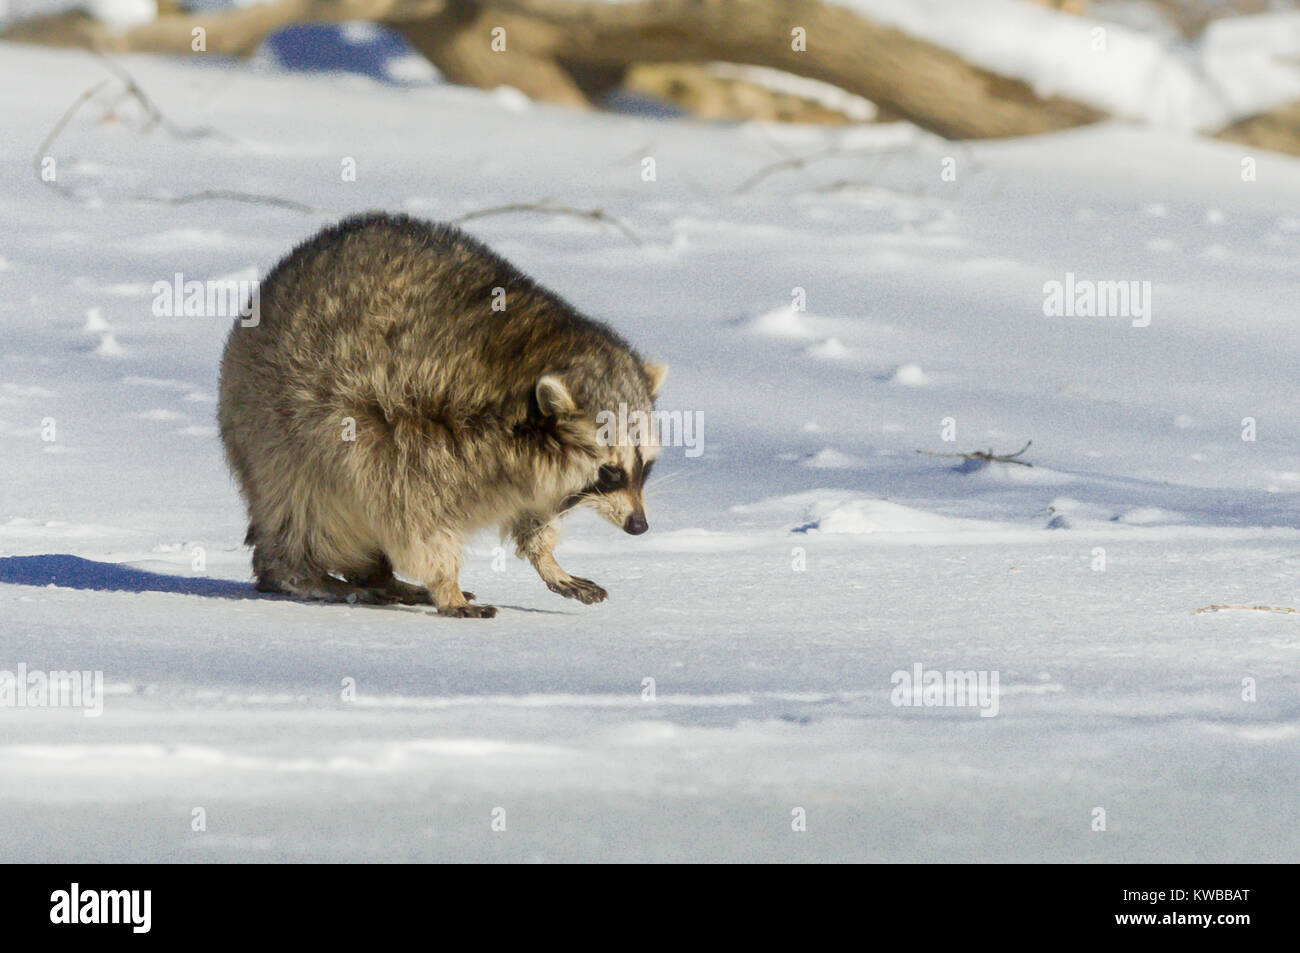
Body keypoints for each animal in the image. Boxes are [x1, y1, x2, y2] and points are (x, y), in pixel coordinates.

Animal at [218, 212, 667, 618]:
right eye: (610, 473)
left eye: (645, 467)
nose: (639, 526)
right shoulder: (410, 429)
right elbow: (415, 518)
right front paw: (445, 582)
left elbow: (532, 512)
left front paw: (546, 558)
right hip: (276, 426)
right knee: (300, 510)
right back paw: (302, 572)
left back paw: (378, 577)